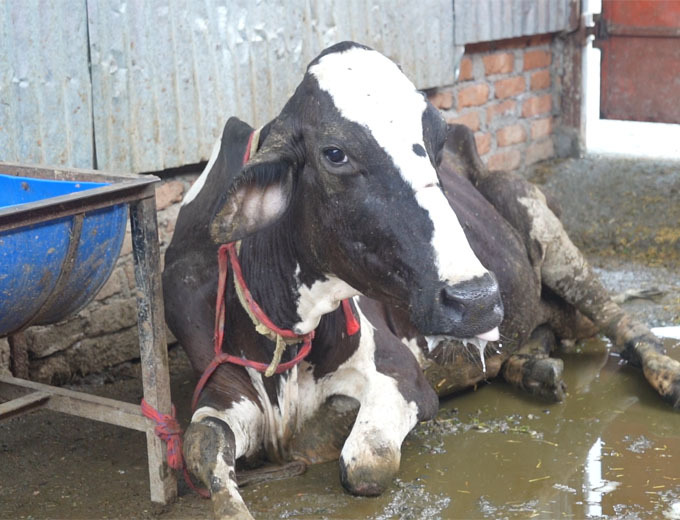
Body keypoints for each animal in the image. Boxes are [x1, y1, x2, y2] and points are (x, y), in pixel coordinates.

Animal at [163, 42, 680, 519]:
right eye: (335, 153)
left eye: (436, 142)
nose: (477, 299)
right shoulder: (219, 385)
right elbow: (200, 450)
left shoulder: (401, 375)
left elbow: (363, 460)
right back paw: (533, 368)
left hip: (542, 224)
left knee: (620, 318)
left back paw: (664, 375)